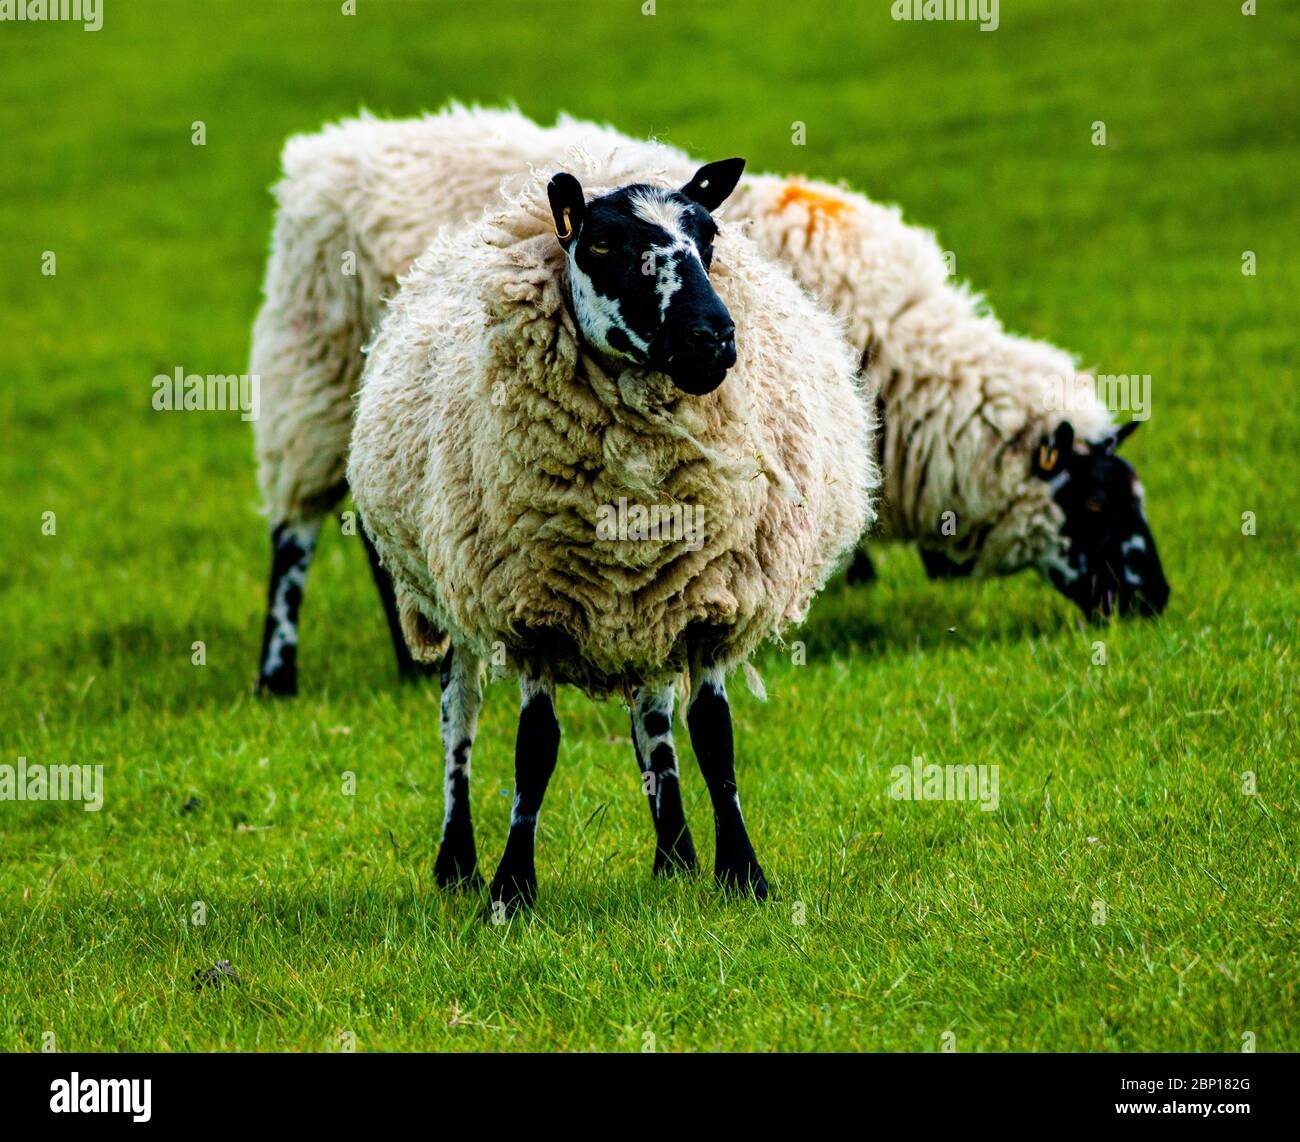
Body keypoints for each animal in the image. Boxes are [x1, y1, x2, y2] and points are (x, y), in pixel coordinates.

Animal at [249, 105, 1166, 695]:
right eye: (1091, 501)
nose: (1155, 602)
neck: (902, 353)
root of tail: (323, 155)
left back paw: (415, 661)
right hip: (313, 372)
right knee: (296, 533)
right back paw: (278, 675)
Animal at [345, 150, 877, 910]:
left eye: (708, 237)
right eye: (600, 246)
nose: (712, 337)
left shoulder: (704, 602)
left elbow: (713, 738)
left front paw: (743, 874)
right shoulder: (531, 613)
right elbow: (534, 748)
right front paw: (511, 889)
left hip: (651, 600)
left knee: (652, 720)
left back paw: (675, 857)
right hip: (446, 595)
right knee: (459, 717)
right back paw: (457, 865)